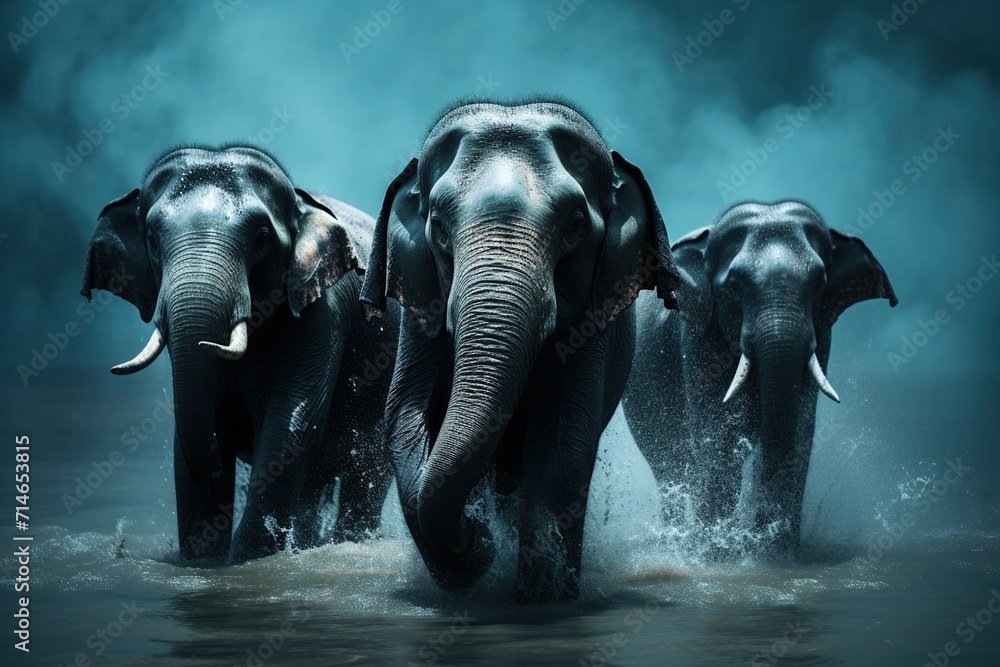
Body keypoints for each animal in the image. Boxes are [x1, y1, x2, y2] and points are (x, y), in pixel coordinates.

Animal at [81, 145, 398, 563]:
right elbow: (187, 436)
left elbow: (290, 429)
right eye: (151, 240)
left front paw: (246, 558)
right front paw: (204, 561)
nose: (216, 456)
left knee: (364, 477)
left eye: (261, 238)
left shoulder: (322, 317)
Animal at [361, 100, 680, 601]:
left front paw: (539, 596)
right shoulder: (419, 313)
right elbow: (405, 417)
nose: (476, 535)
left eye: (575, 226)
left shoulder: (593, 320)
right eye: (438, 227)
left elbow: (565, 442)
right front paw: (477, 557)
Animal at [623, 200, 897, 555]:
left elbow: (800, 428)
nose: (759, 536)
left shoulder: (821, 336)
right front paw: (719, 555)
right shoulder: (697, 333)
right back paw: (678, 543)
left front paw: (775, 553)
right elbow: (718, 433)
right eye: (734, 285)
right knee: (669, 467)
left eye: (819, 282)